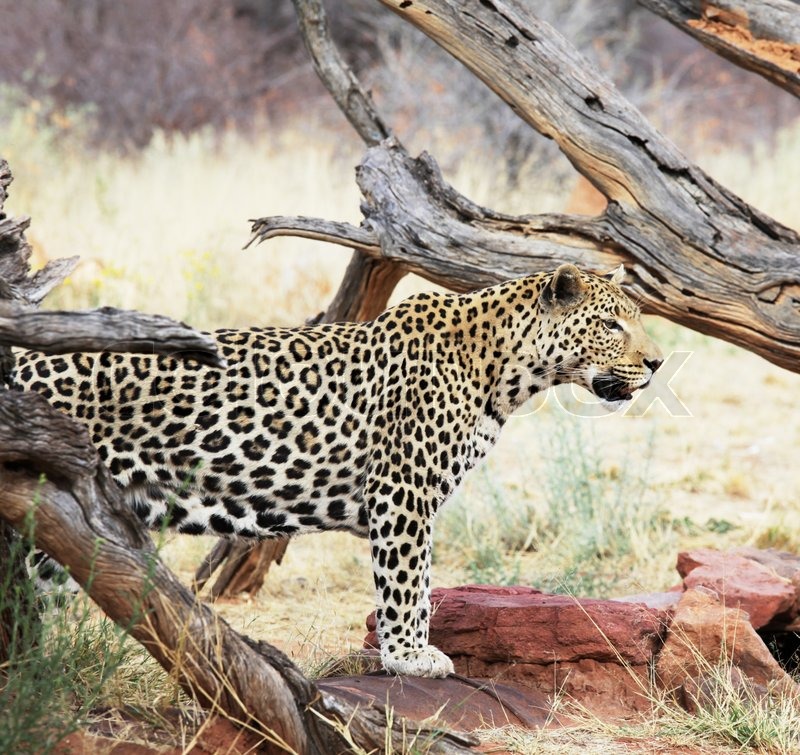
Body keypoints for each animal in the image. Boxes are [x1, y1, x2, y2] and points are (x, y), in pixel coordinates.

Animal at [16, 263, 663, 678]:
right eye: (612, 325)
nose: (657, 363)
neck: (506, 370)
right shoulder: (403, 493)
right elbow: (407, 584)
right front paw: (410, 657)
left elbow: (418, 585)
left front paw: (407, 654)